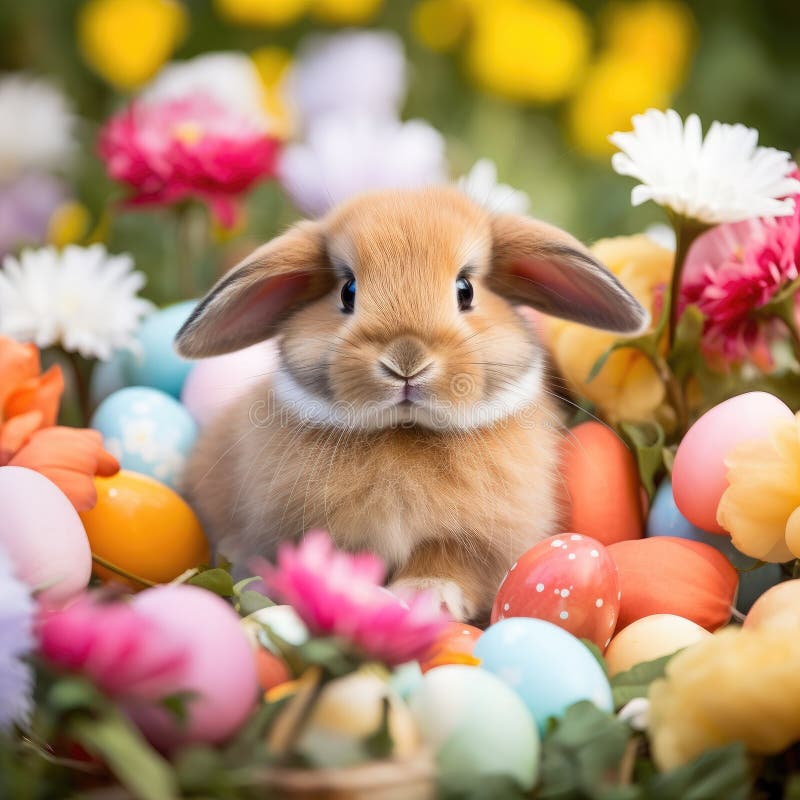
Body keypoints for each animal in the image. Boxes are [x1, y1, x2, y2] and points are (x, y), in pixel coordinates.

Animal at [175, 186, 648, 622]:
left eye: (465, 289)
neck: (403, 431)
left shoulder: (477, 542)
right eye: (348, 291)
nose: (406, 359)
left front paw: (427, 596)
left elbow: (447, 563)